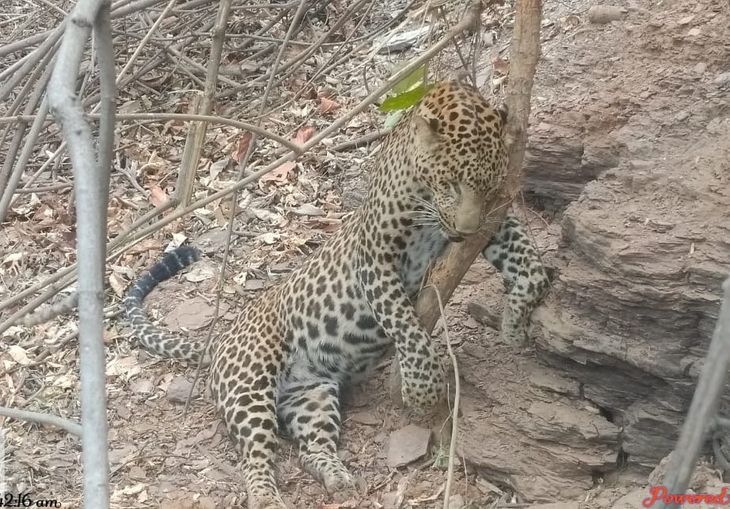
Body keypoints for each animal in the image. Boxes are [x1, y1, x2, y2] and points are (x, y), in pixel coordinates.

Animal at [123, 81, 549, 509]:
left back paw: (336, 476)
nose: (463, 230)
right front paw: (423, 388)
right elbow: (405, 324)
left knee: (310, 450)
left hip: (311, 396)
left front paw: (514, 325)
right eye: (452, 183)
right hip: (249, 387)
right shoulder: (374, 261)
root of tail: (223, 338)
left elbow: (530, 266)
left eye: (489, 187)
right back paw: (266, 495)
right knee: (255, 456)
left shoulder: (493, 223)